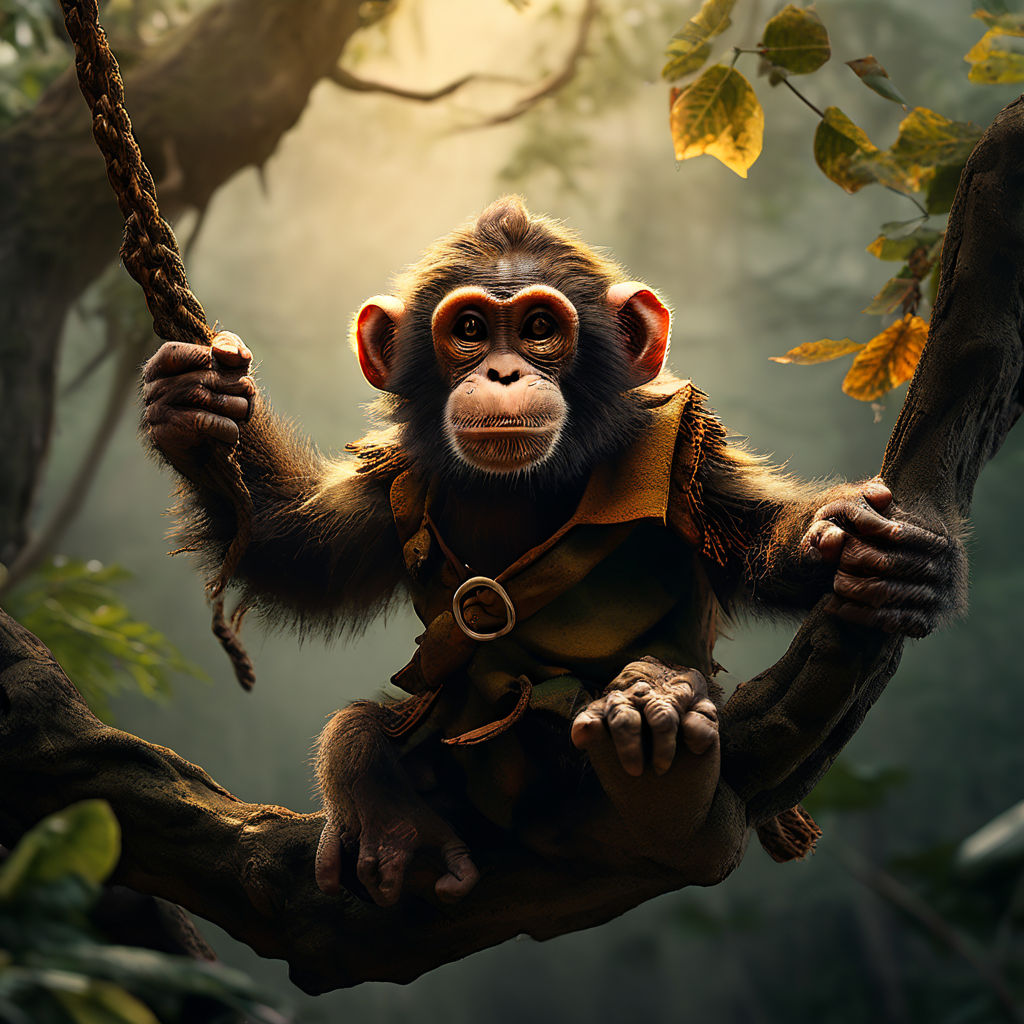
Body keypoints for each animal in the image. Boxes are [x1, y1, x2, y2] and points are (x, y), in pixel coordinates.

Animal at [142, 197, 963, 911]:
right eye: (471, 327)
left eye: (539, 326)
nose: (503, 373)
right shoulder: (397, 483)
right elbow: (302, 549)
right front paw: (193, 403)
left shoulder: (677, 453)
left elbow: (750, 532)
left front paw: (865, 545)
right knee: (376, 730)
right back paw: (395, 820)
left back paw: (658, 725)